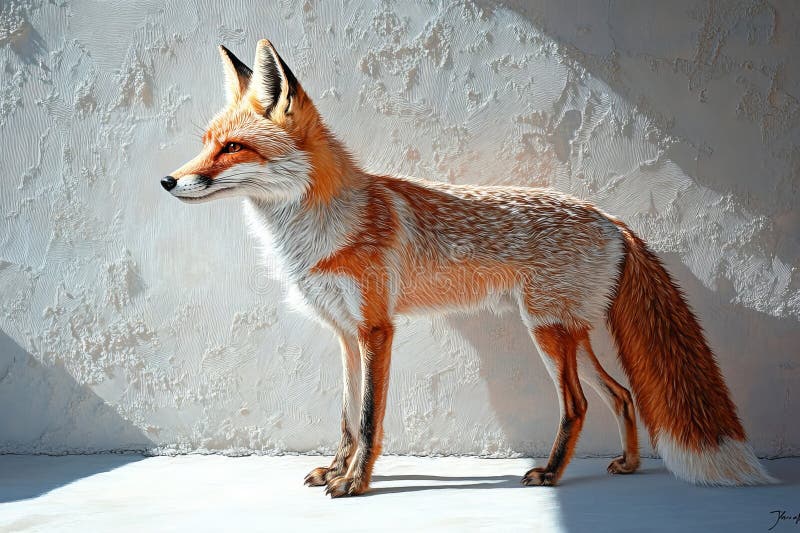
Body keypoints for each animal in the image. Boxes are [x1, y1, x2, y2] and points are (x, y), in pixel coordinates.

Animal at [161, 39, 775, 497]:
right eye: (206, 144)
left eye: (232, 148)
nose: (168, 180)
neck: (317, 232)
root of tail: (609, 216)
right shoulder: (343, 333)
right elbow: (345, 417)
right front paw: (337, 470)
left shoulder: (376, 329)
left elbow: (369, 418)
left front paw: (356, 484)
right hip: (572, 331)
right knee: (621, 394)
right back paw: (626, 465)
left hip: (547, 332)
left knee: (578, 404)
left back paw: (550, 474)